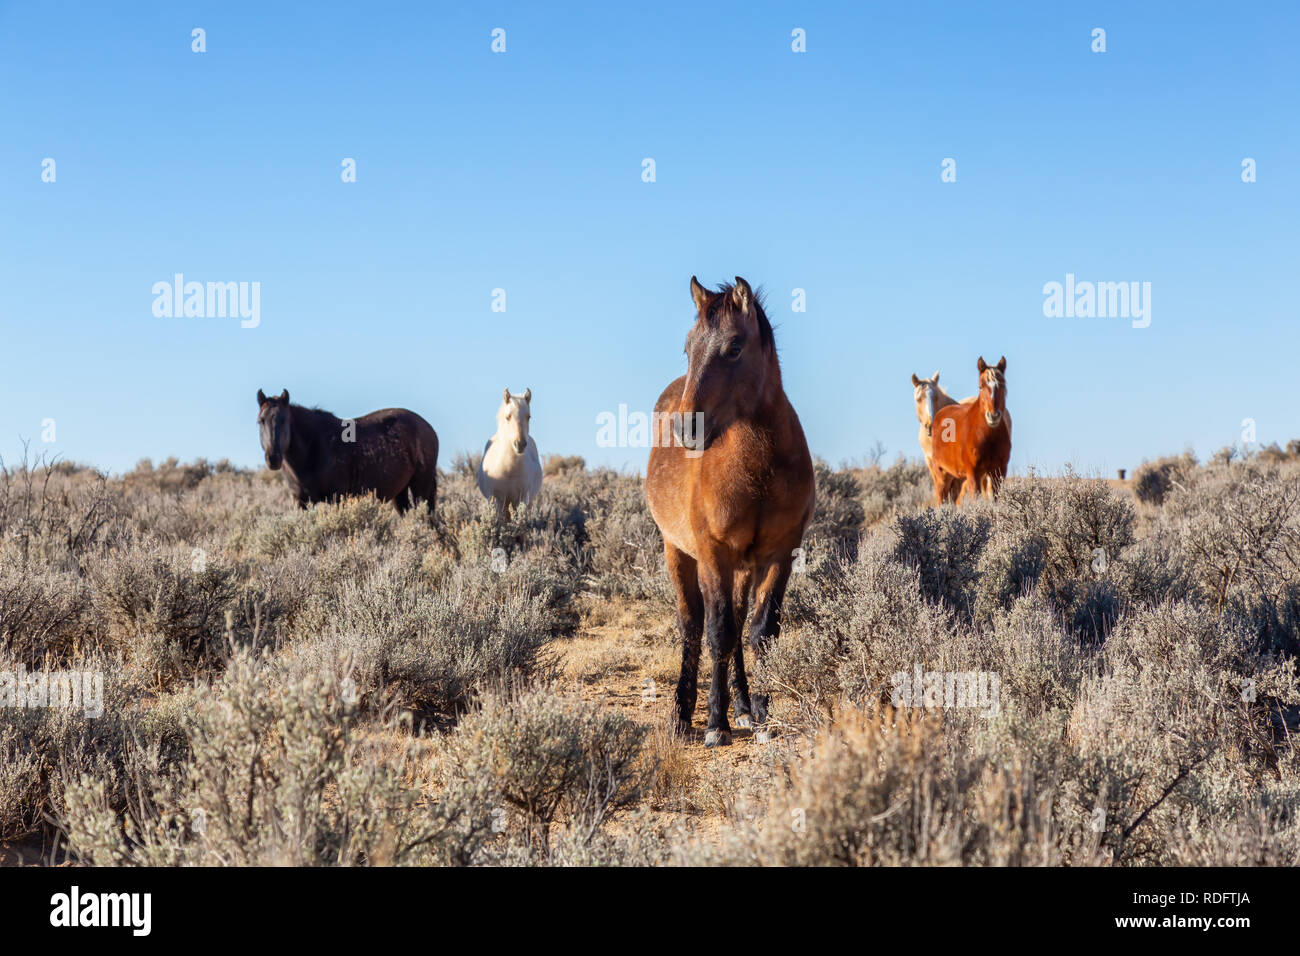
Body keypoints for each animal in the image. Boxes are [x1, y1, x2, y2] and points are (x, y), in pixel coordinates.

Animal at [255, 389, 438, 513]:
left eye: (284, 420)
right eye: (261, 421)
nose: (273, 458)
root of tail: (428, 427)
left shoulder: (337, 498)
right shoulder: (301, 502)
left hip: (420, 487)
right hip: (400, 492)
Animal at [646, 276, 815, 747]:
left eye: (735, 348)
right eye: (688, 348)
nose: (687, 427)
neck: (758, 468)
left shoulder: (779, 554)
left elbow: (761, 631)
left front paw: (760, 709)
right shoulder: (713, 554)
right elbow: (716, 633)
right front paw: (715, 723)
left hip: (742, 566)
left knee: (738, 625)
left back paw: (740, 704)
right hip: (678, 553)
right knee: (691, 626)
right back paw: (683, 714)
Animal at [927, 357, 1012, 504]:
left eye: (1002, 385)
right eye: (981, 386)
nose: (993, 415)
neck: (988, 437)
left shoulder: (999, 471)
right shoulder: (973, 474)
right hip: (941, 475)